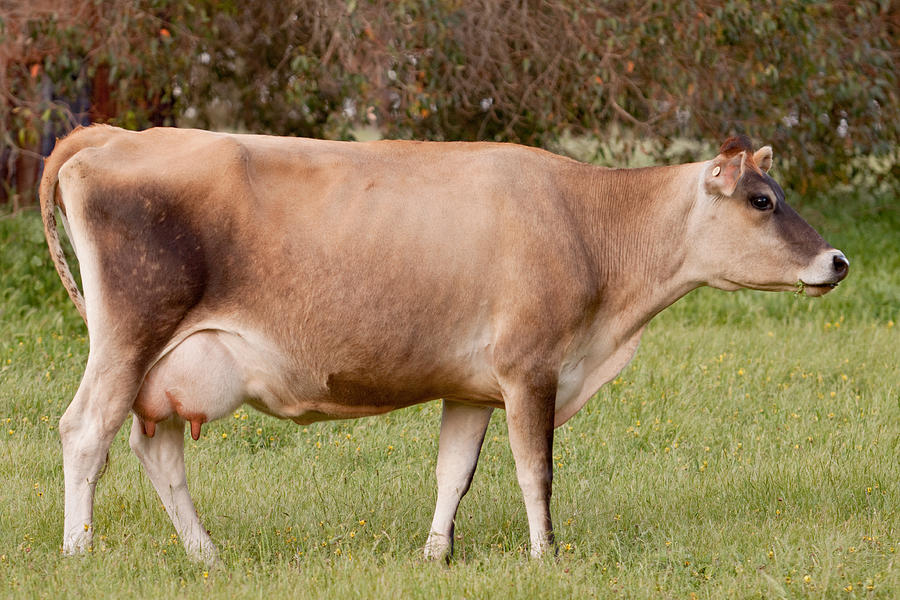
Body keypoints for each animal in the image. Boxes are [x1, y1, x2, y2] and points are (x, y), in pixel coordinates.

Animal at [39, 125, 848, 564]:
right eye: (762, 200)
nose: (836, 261)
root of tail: (122, 135)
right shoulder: (531, 369)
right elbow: (535, 471)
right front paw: (545, 554)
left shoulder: (472, 386)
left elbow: (453, 473)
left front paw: (437, 555)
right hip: (129, 337)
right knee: (85, 432)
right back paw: (80, 550)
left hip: (170, 368)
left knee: (156, 451)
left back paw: (207, 554)